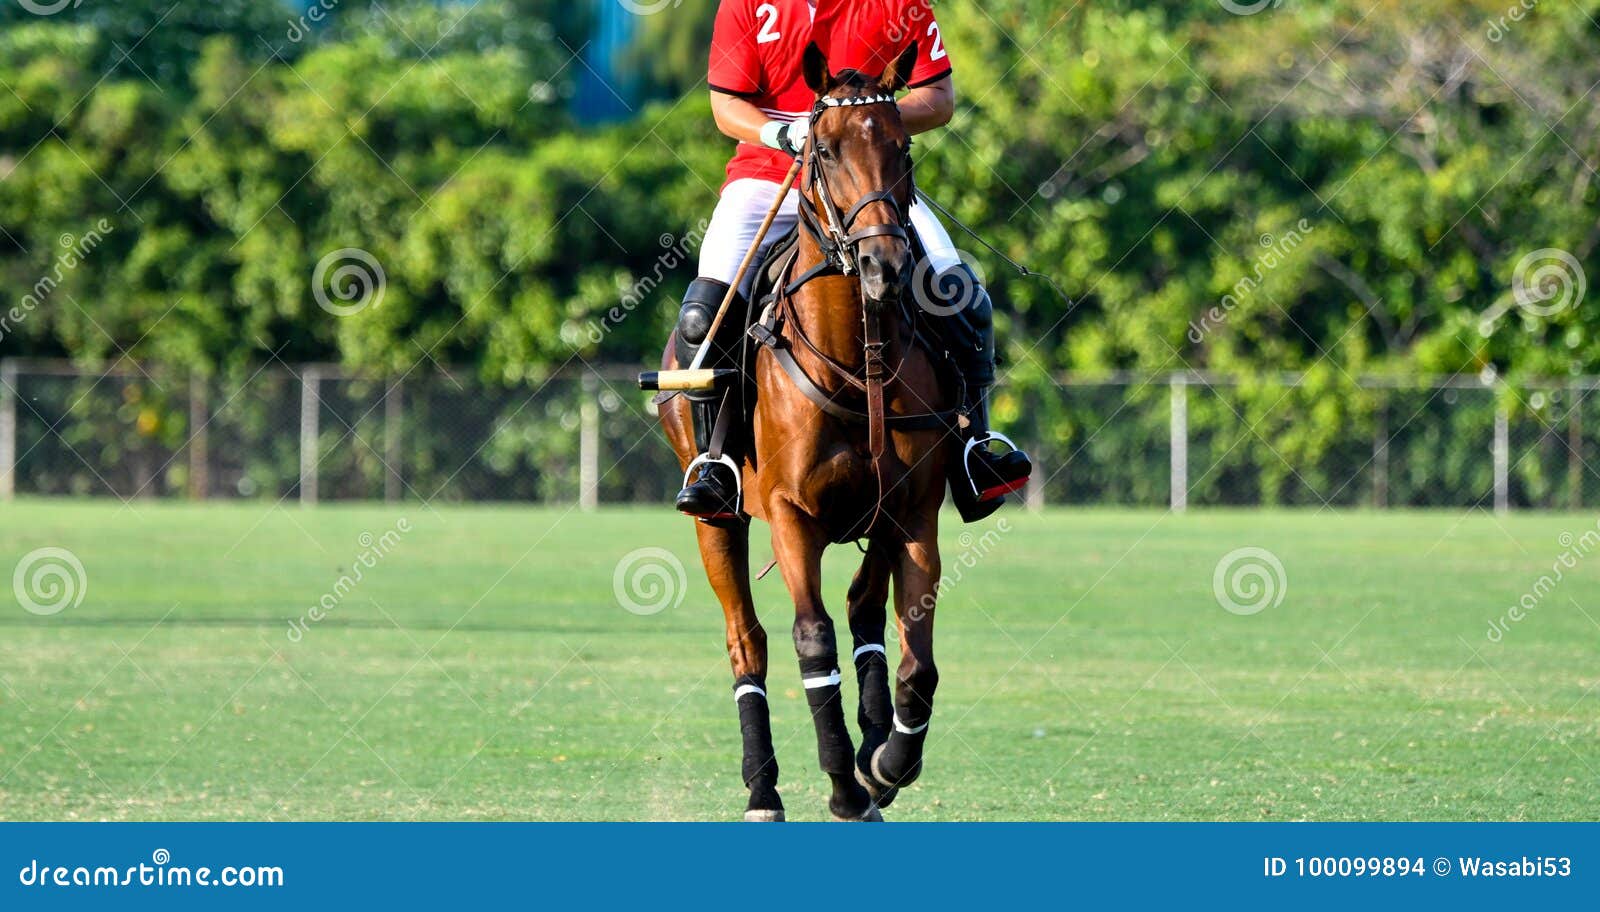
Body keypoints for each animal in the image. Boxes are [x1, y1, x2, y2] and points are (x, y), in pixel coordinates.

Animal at [658, 42, 955, 822]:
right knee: (748, 641)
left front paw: (885, 764)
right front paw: (844, 784)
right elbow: (811, 642)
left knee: (865, 612)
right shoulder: (792, 515)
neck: (854, 358)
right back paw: (764, 788)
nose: (883, 264)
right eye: (821, 149)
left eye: (902, 147)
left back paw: (873, 744)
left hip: (876, 516)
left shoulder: (913, 509)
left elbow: (918, 658)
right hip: (718, 519)